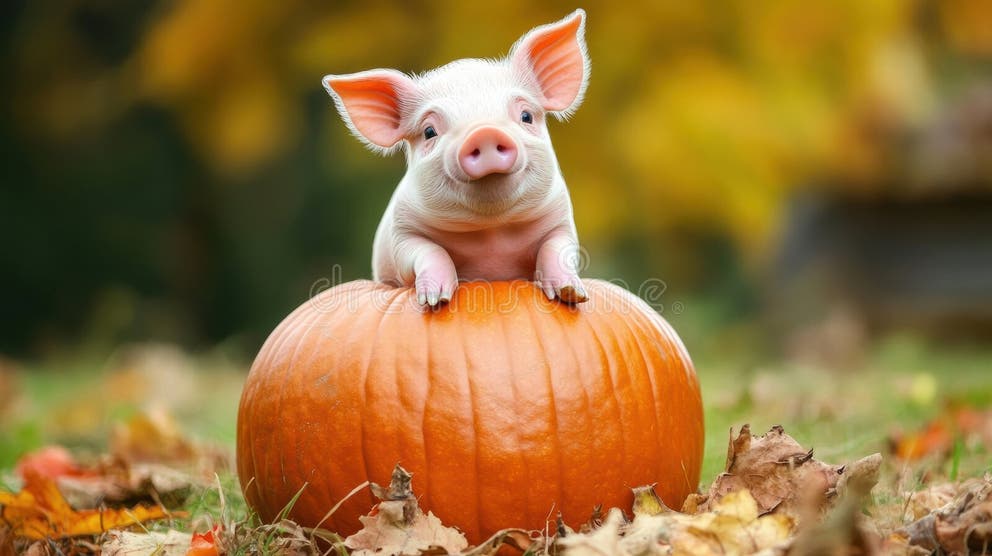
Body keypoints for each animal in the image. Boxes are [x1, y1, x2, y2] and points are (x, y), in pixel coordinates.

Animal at [323, 10, 590, 307]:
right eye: (429, 131)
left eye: (526, 116)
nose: (484, 132)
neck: (491, 233)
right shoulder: (401, 233)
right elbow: (428, 251)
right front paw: (435, 300)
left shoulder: (561, 219)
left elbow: (557, 249)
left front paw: (573, 294)